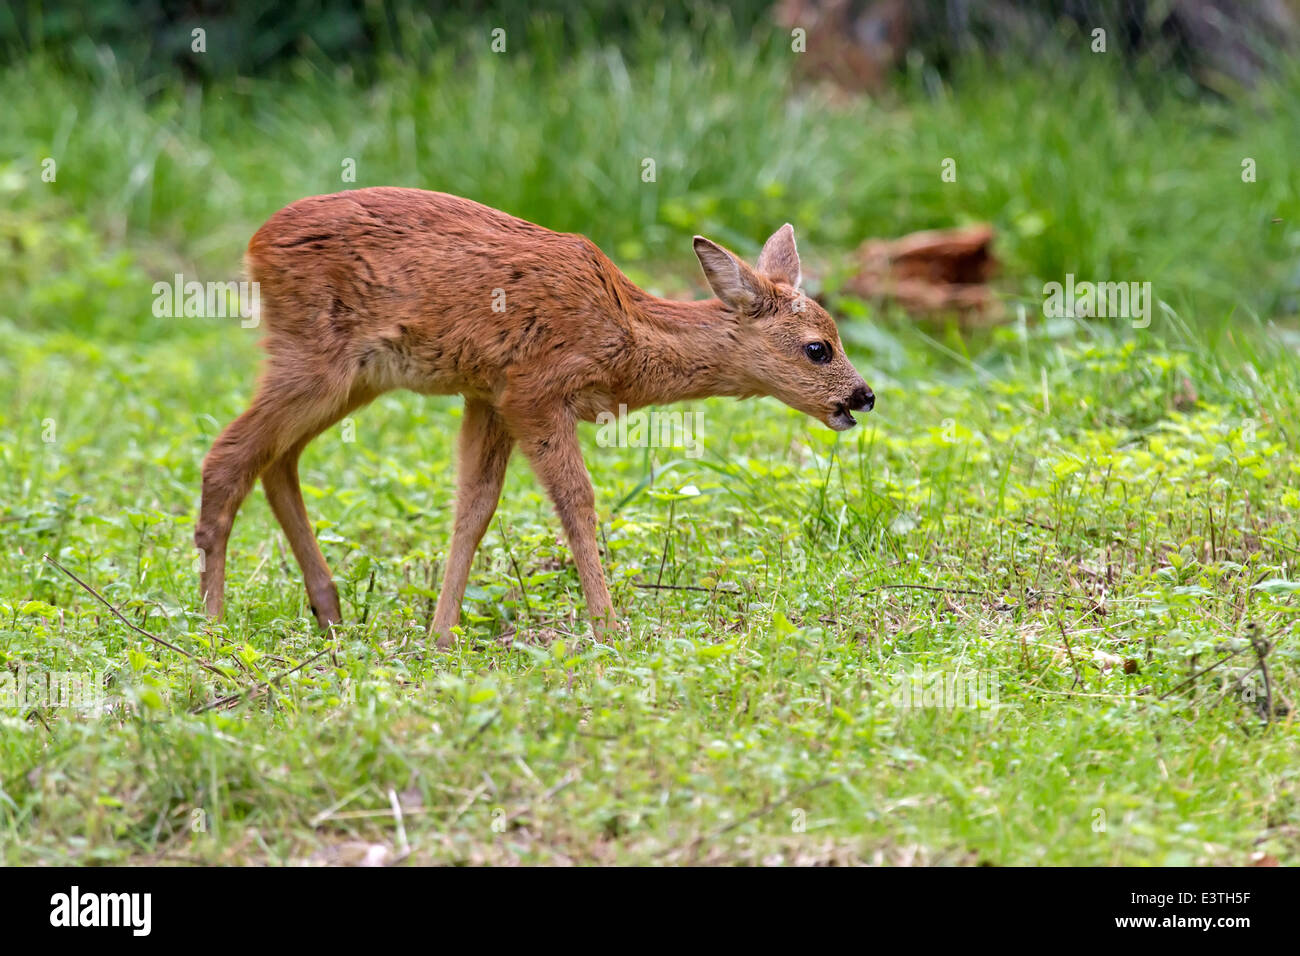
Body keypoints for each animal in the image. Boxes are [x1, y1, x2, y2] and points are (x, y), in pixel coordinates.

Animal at [196, 187, 874, 648]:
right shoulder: (535, 389)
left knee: (276, 458)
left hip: (354, 377)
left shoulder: (488, 395)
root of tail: (255, 246)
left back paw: (329, 612)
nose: (864, 396)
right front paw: (608, 628)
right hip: (314, 357)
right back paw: (212, 624)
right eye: (818, 347)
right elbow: (576, 500)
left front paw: (441, 635)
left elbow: (473, 508)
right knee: (227, 455)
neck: (626, 332)